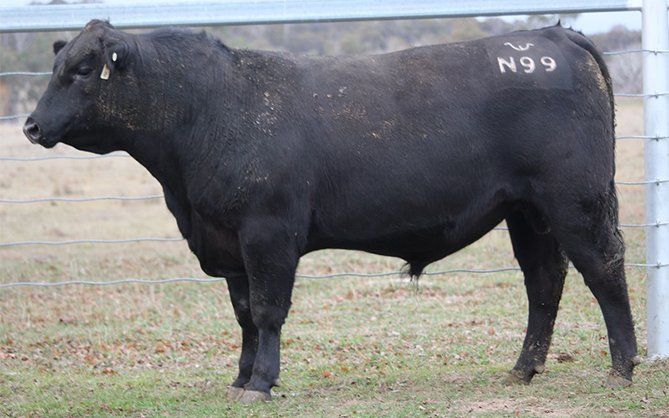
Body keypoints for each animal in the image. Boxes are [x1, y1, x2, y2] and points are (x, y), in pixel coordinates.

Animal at [24, 20, 640, 402]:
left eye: (84, 69)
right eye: (59, 65)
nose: (30, 125)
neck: (209, 108)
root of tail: (551, 35)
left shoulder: (268, 234)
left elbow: (268, 311)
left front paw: (262, 383)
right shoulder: (228, 242)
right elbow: (244, 315)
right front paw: (239, 379)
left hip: (576, 200)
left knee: (604, 268)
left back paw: (622, 368)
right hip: (527, 210)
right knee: (544, 282)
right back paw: (522, 369)